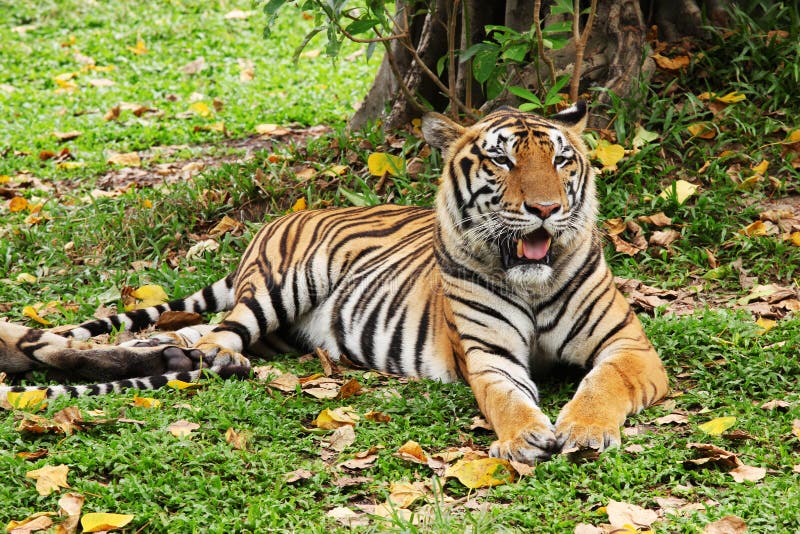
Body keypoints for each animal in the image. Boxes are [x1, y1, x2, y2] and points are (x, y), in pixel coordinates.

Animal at [0, 102, 668, 463]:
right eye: (502, 160)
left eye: (561, 160)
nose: (546, 210)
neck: (530, 279)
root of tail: (279, 218)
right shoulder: (490, 356)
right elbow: (507, 397)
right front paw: (527, 436)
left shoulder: (628, 346)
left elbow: (602, 385)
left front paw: (584, 430)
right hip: (277, 290)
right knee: (218, 333)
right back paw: (211, 360)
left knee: (169, 338)